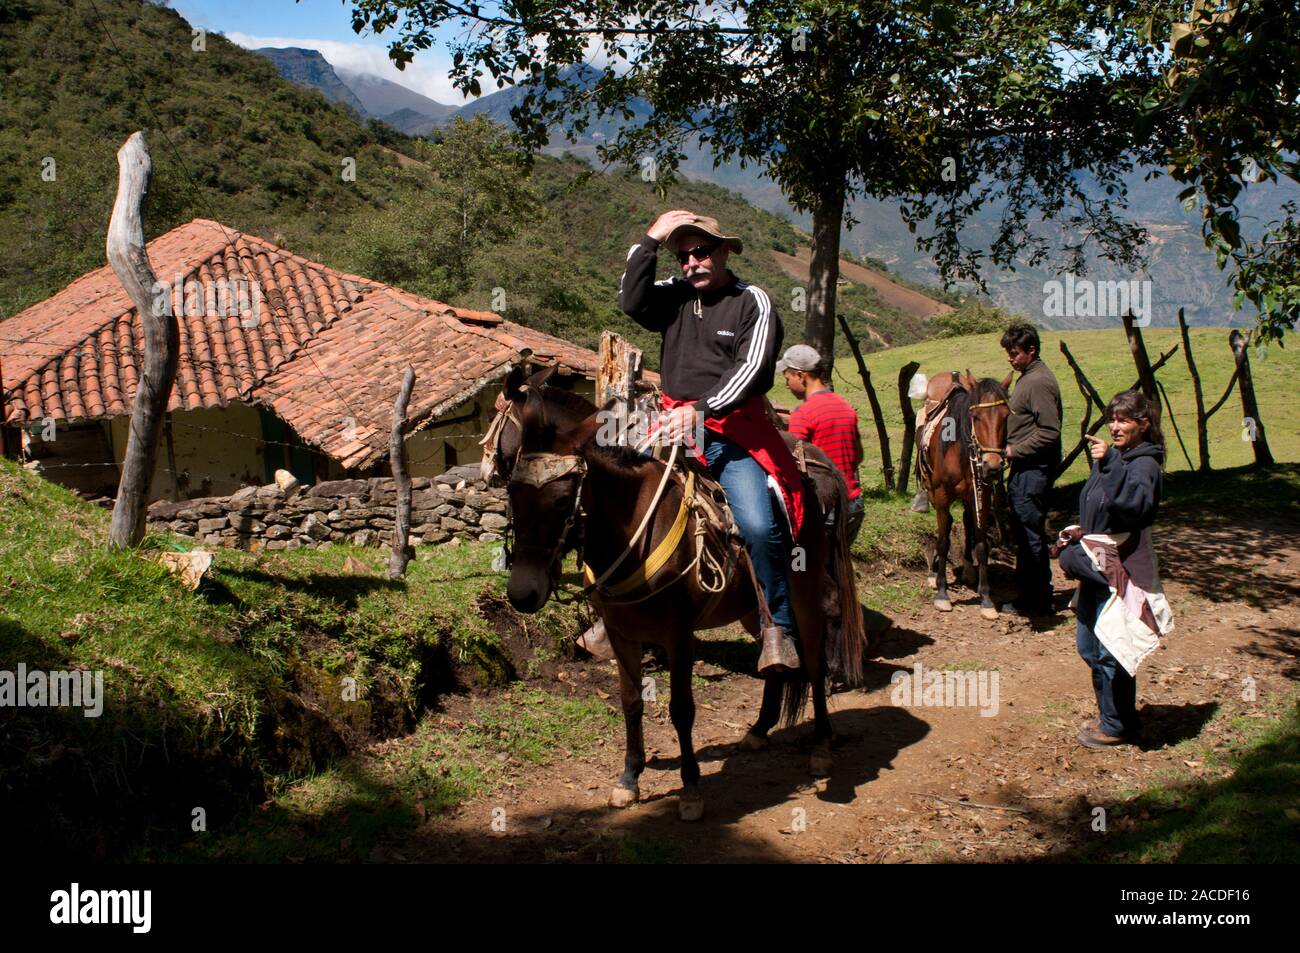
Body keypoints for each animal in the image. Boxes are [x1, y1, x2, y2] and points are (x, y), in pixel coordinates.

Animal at [487, 365, 865, 821]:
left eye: (563, 500)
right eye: (514, 493)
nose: (522, 592)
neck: (634, 529)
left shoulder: (679, 635)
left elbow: (681, 709)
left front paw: (690, 789)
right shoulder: (622, 634)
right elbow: (631, 701)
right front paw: (629, 778)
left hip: (805, 592)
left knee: (812, 660)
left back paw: (822, 746)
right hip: (752, 608)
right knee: (776, 649)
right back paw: (759, 729)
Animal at [917, 372, 1010, 620]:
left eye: (1006, 416)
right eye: (975, 417)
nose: (992, 466)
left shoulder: (982, 495)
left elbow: (981, 544)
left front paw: (986, 599)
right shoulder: (940, 496)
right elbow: (943, 541)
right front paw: (942, 593)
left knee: (967, 521)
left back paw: (968, 570)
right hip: (933, 492)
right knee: (947, 525)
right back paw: (934, 574)